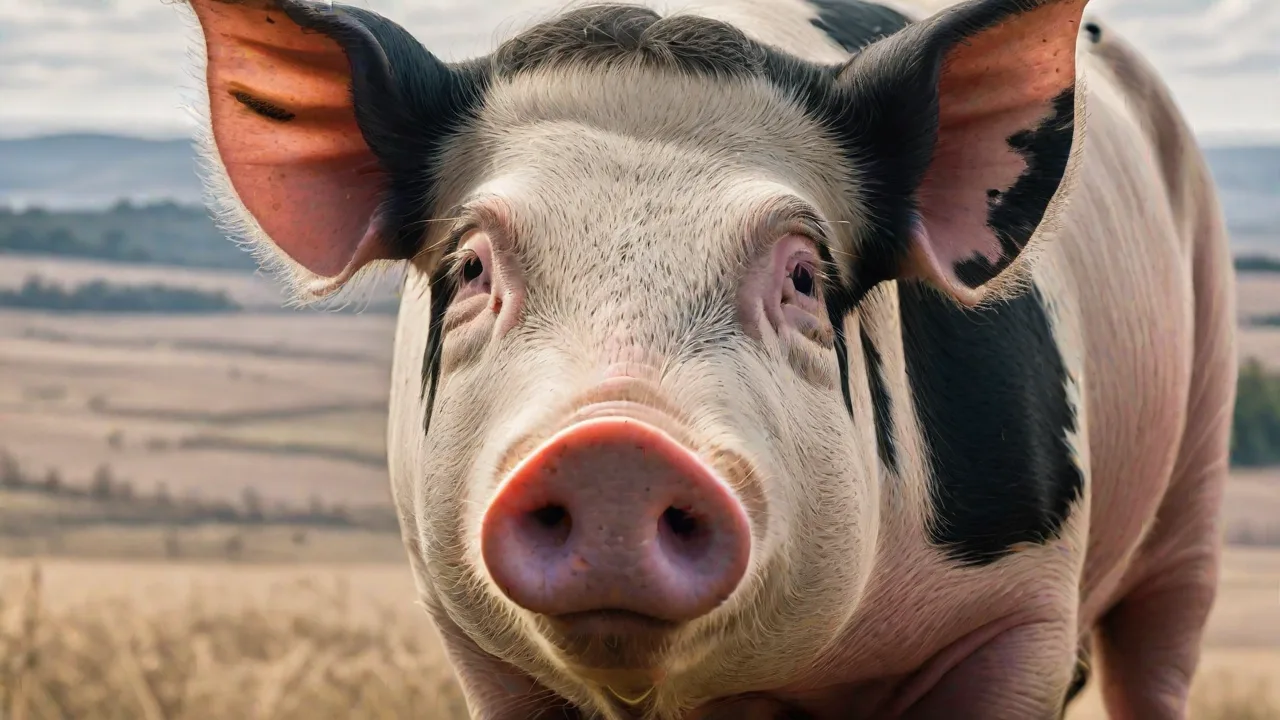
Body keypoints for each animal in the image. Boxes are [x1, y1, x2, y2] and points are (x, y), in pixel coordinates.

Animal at [178, 0, 1237, 718]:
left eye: (804, 276)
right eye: (471, 266)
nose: (615, 446)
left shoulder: (1016, 611)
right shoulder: (470, 639)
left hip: (1202, 446)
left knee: (1161, 643)